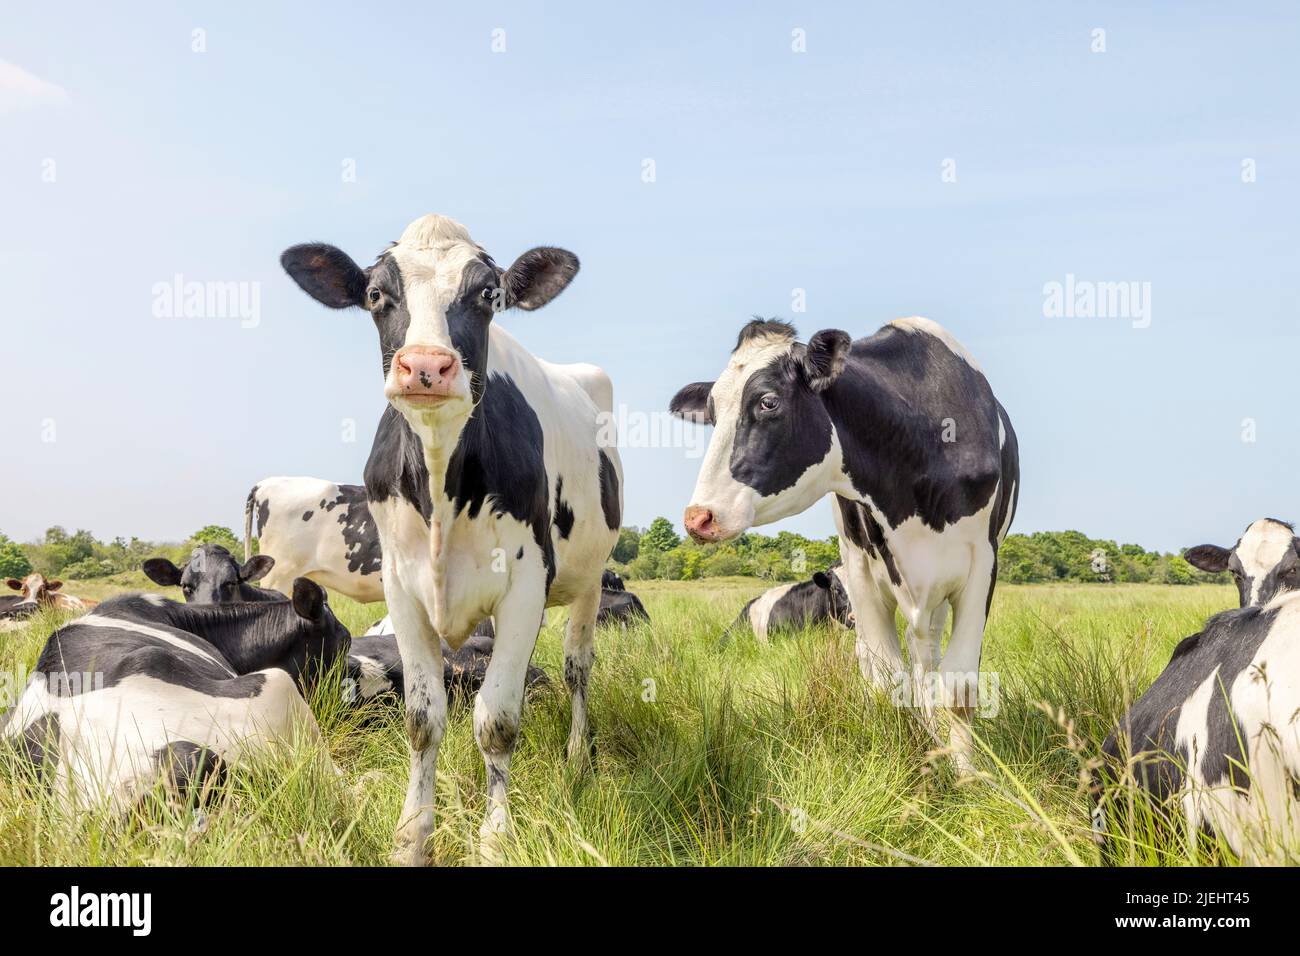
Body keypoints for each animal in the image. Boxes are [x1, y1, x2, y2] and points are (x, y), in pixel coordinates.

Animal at [281, 213, 622, 864]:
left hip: (590, 578)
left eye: (489, 295)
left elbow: (498, 720)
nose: (425, 366)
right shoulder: (401, 588)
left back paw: (576, 756)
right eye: (375, 295)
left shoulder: (526, 584)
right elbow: (423, 718)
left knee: (577, 669)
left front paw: (495, 837)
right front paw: (413, 834)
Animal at [670, 317, 1018, 770]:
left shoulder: (981, 566)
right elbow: (887, 681)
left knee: (926, 657)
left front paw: (965, 775)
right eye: (712, 414)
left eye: (768, 402)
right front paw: (910, 767)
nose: (698, 517)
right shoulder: (862, 574)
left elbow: (958, 687)